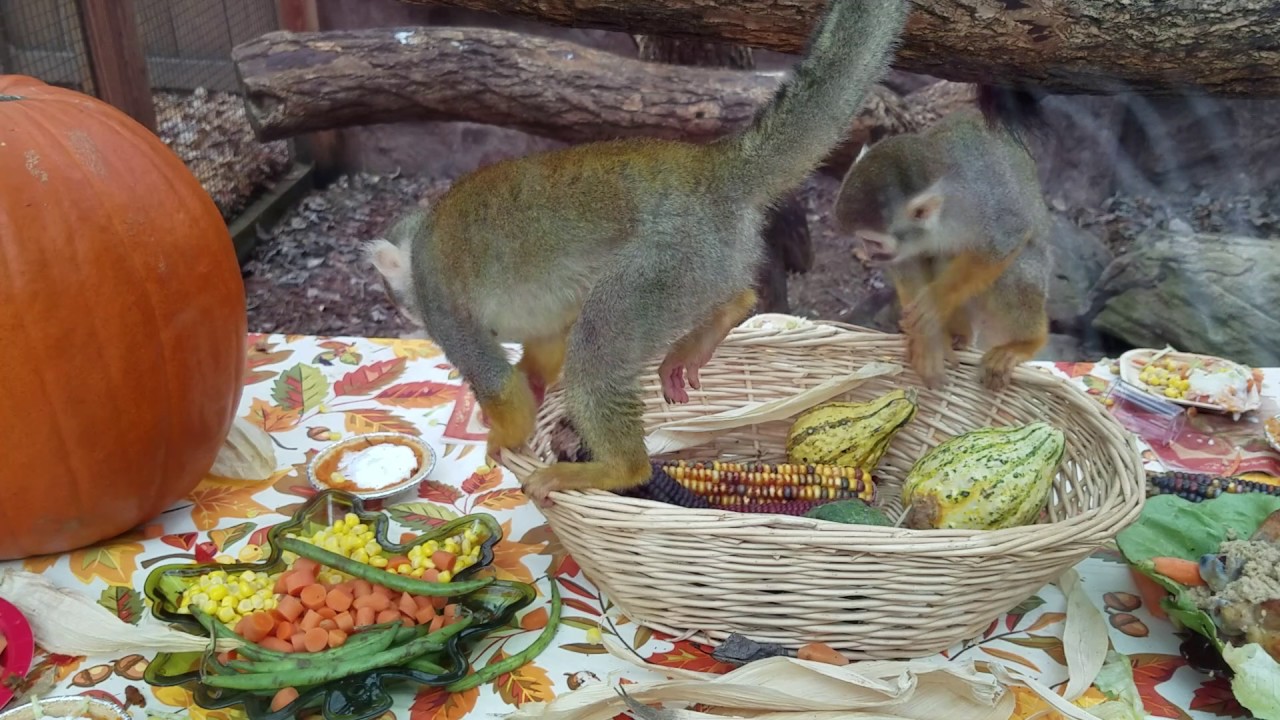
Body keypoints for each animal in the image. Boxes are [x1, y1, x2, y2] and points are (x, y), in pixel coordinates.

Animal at [374, 0, 911, 505]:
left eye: (399, 297)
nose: (402, 310)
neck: (419, 241)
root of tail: (712, 169)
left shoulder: (438, 296)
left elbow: (497, 383)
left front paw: (503, 437)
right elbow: (546, 342)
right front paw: (534, 383)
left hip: (672, 257)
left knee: (599, 341)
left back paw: (619, 469)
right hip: (703, 259)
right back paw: (726, 314)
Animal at [832, 84, 1054, 392]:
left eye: (874, 241)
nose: (871, 253)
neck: (940, 217)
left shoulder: (982, 201)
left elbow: (1007, 238)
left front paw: (935, 302)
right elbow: (909, 262)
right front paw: (928, 342)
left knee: (1013, 270)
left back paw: (1024, 343)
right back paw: (957, 335)